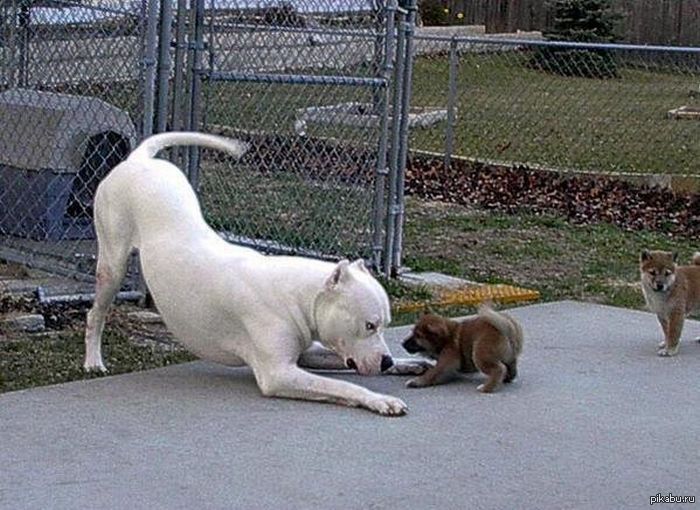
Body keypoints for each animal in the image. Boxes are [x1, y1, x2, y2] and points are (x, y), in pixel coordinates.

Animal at [85, 133, 424, 416]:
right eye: (369, 325)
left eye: (385, 326)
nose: (386, 361)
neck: (299, 295)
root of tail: (139, 159)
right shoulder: (279, 374)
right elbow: (342, 385)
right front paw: (381, 400)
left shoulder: (305, 355)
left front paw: (408, 364)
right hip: (112, 265)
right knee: (95, 314)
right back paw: (93, 362)